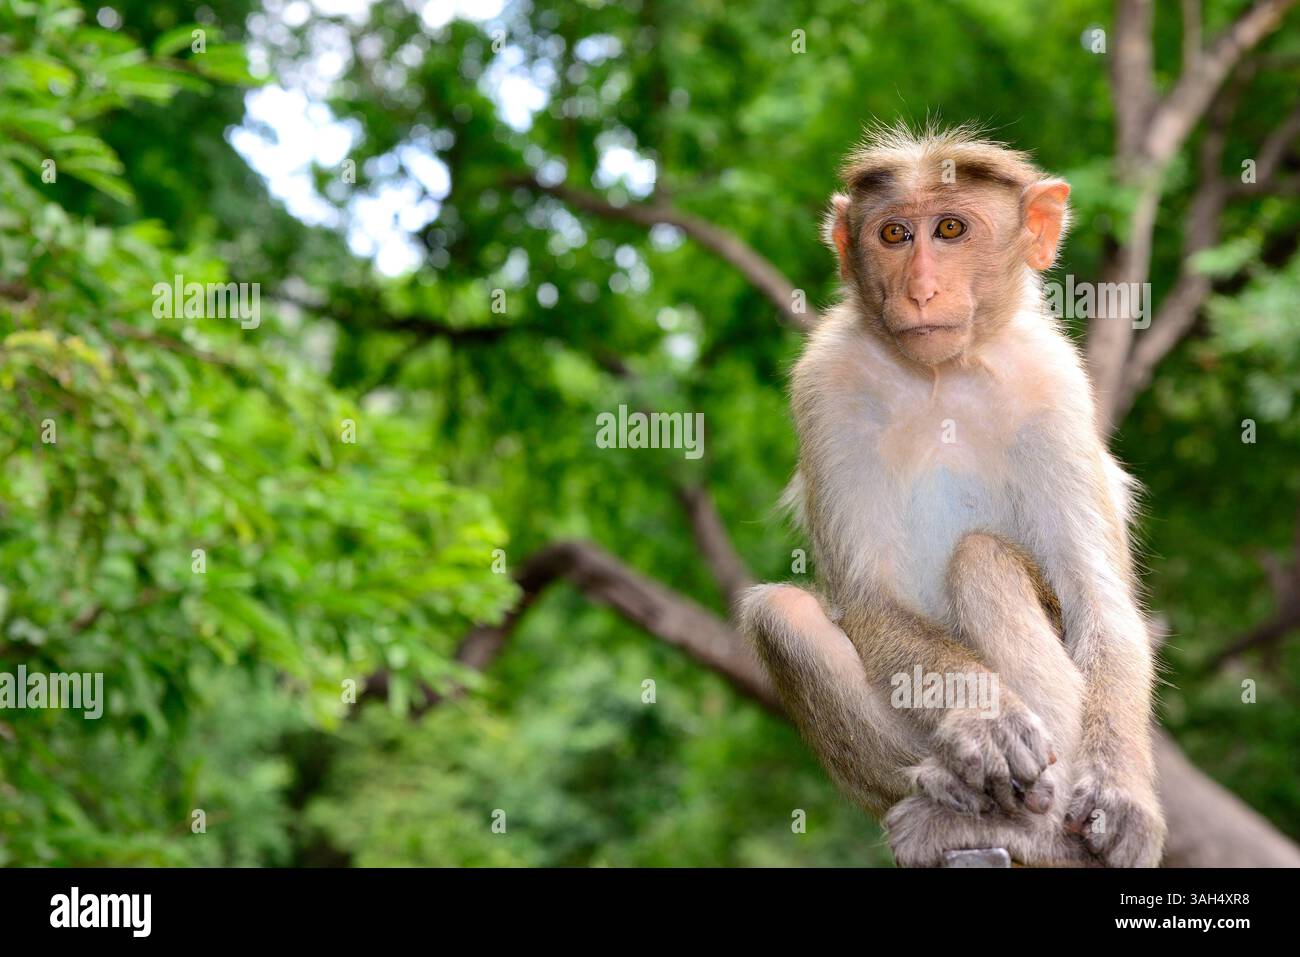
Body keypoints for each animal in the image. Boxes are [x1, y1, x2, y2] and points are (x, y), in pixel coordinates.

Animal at [738, 124, 1165, 868]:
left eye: (950, 228)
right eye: (894, 234)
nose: (919, 289)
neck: (943, 375)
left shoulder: (1055, 383)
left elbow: (1100, 602)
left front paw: (1123, 794)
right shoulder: (827, 383)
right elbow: (868, 599)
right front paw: (986, 717)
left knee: (983, 560)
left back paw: (1038, 832)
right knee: (780, 616)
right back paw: (962, 803)